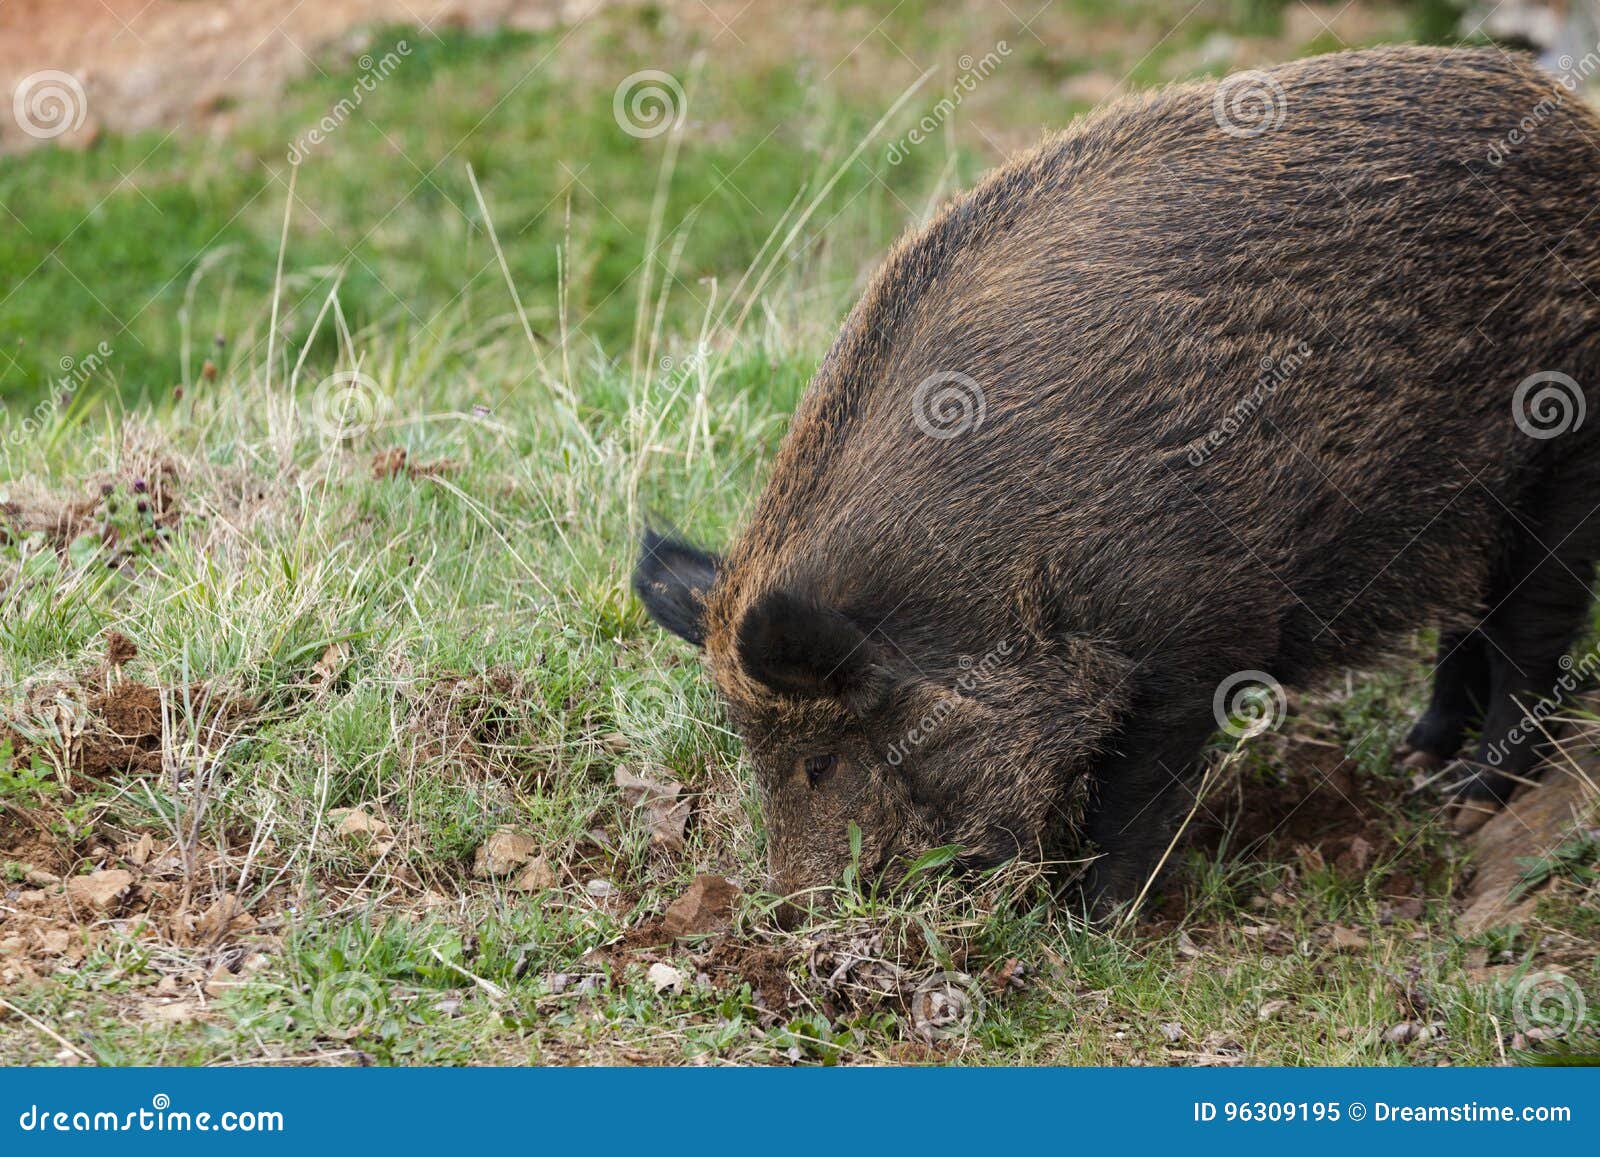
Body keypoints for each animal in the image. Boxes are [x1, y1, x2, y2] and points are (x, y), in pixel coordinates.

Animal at [633, 46, 1600, 916]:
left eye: (819, 759)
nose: (793, 910)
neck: (1005, 568)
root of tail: (1574, 121)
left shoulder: (1201, 632)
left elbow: (1134, 795)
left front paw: (1095, 921)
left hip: (1565, 453)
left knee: (1531, 631)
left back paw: (1468, 798)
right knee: (1465, 621)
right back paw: (1417, 758)